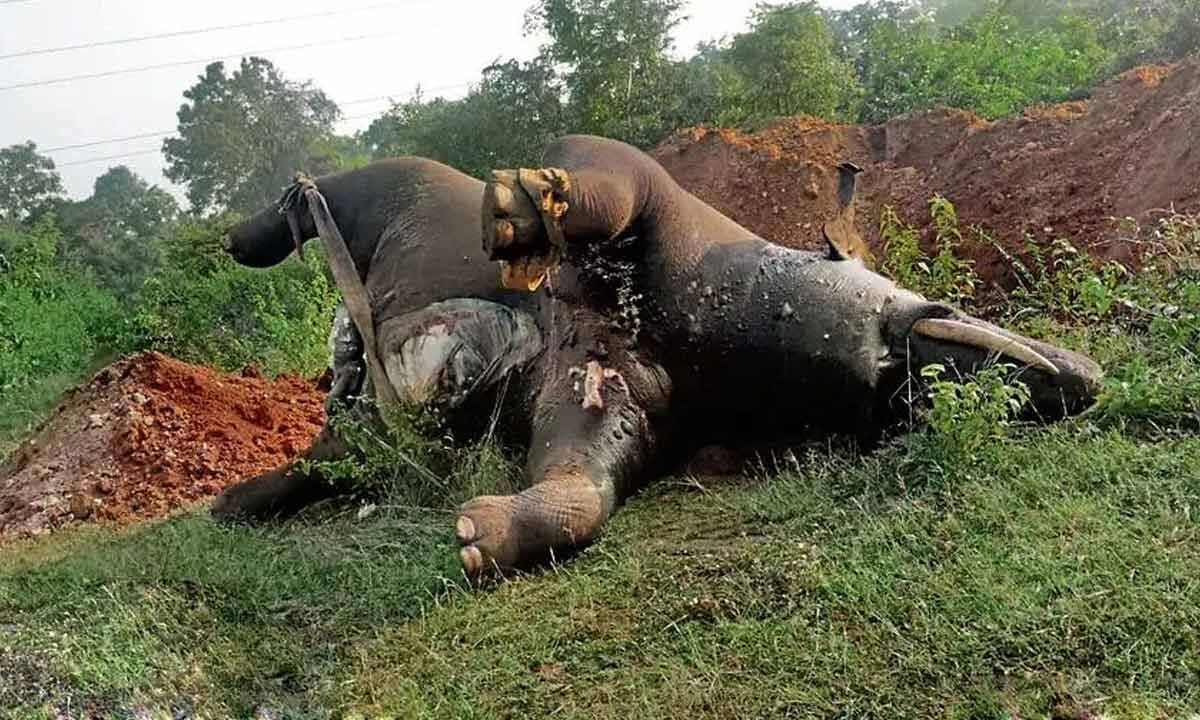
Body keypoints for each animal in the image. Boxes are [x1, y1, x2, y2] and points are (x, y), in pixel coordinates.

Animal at [212, 139, 1103, 579]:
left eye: (888, 392)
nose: (1084, 378)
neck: (707, 332)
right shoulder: (655, 200)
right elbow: (602, 174)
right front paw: (524, 204)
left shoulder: (611, 405)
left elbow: (579, 496)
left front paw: (478, 534)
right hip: (384, 189)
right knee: (309, 198)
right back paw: (237, 236)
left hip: (362, 421)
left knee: (323, 456)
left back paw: (232, 502)